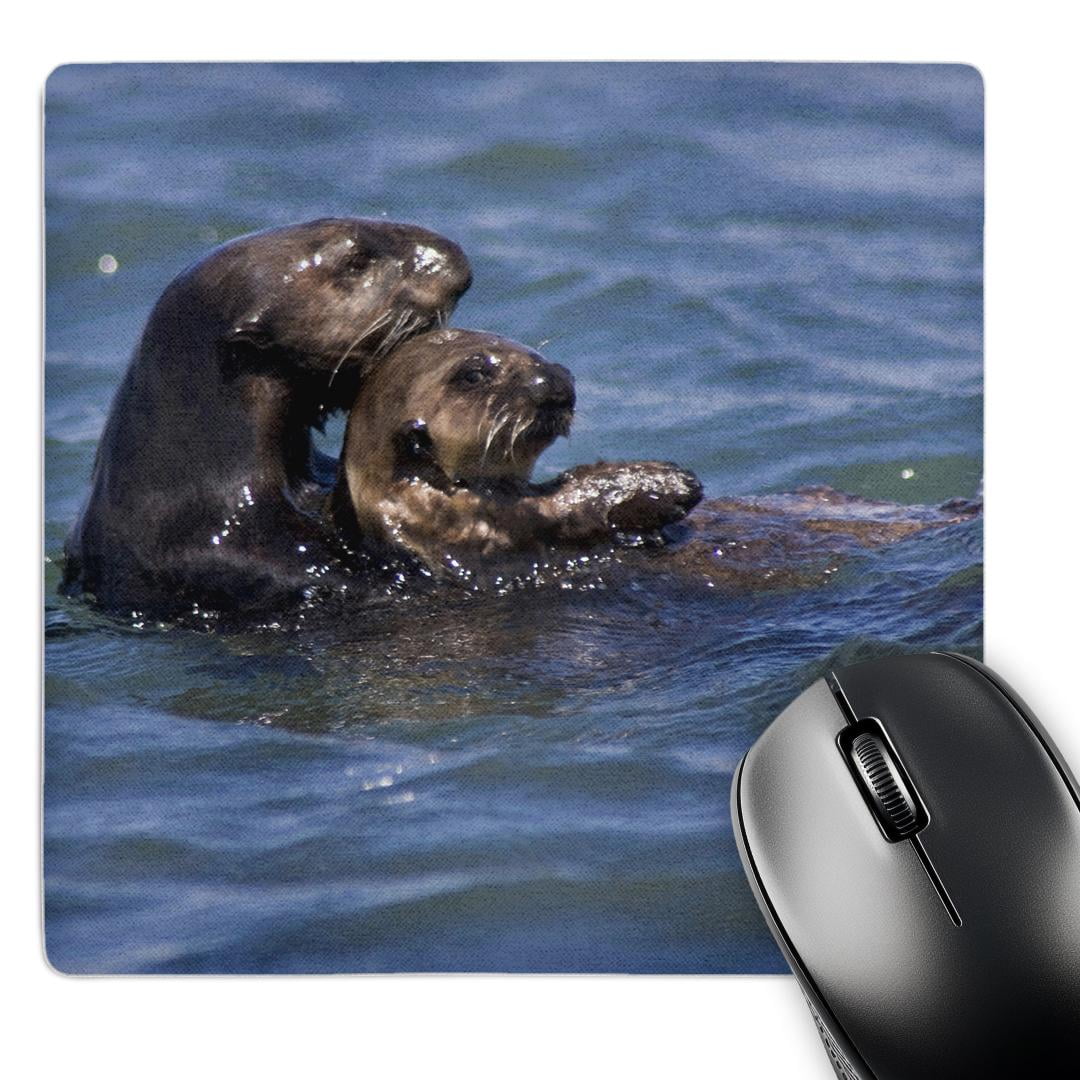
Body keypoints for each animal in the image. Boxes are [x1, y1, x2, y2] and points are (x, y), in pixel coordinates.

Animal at [330, 329, 704, 576]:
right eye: (473, 375)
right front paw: (668, 483)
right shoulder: (492, 525)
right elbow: (564, 506)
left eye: (533, 354)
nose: (555, 378)